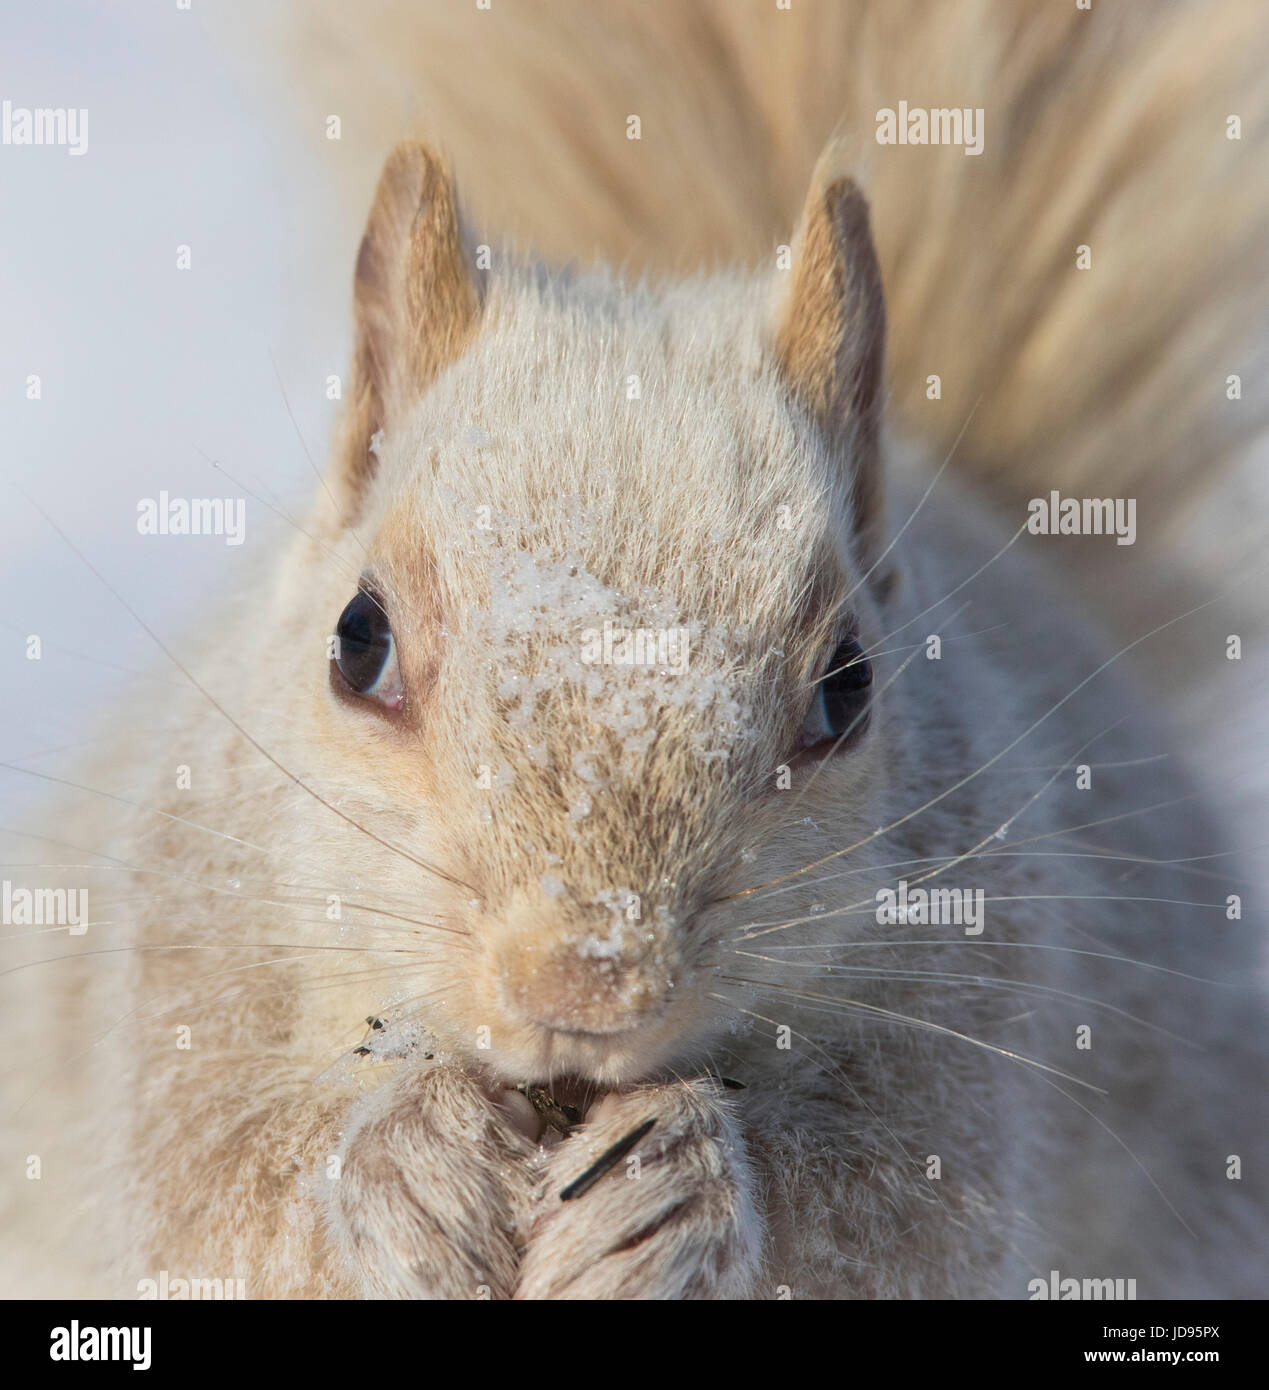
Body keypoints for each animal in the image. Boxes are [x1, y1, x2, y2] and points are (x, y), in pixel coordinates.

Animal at [3, 0, 1267, 1299]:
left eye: (849, 686)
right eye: (357, 642)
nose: (587, 986)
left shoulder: (984, 1003)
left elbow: (902, 1216)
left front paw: (687, 1186)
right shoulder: (187, 965)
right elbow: (214, 1195)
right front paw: (404, 1164)